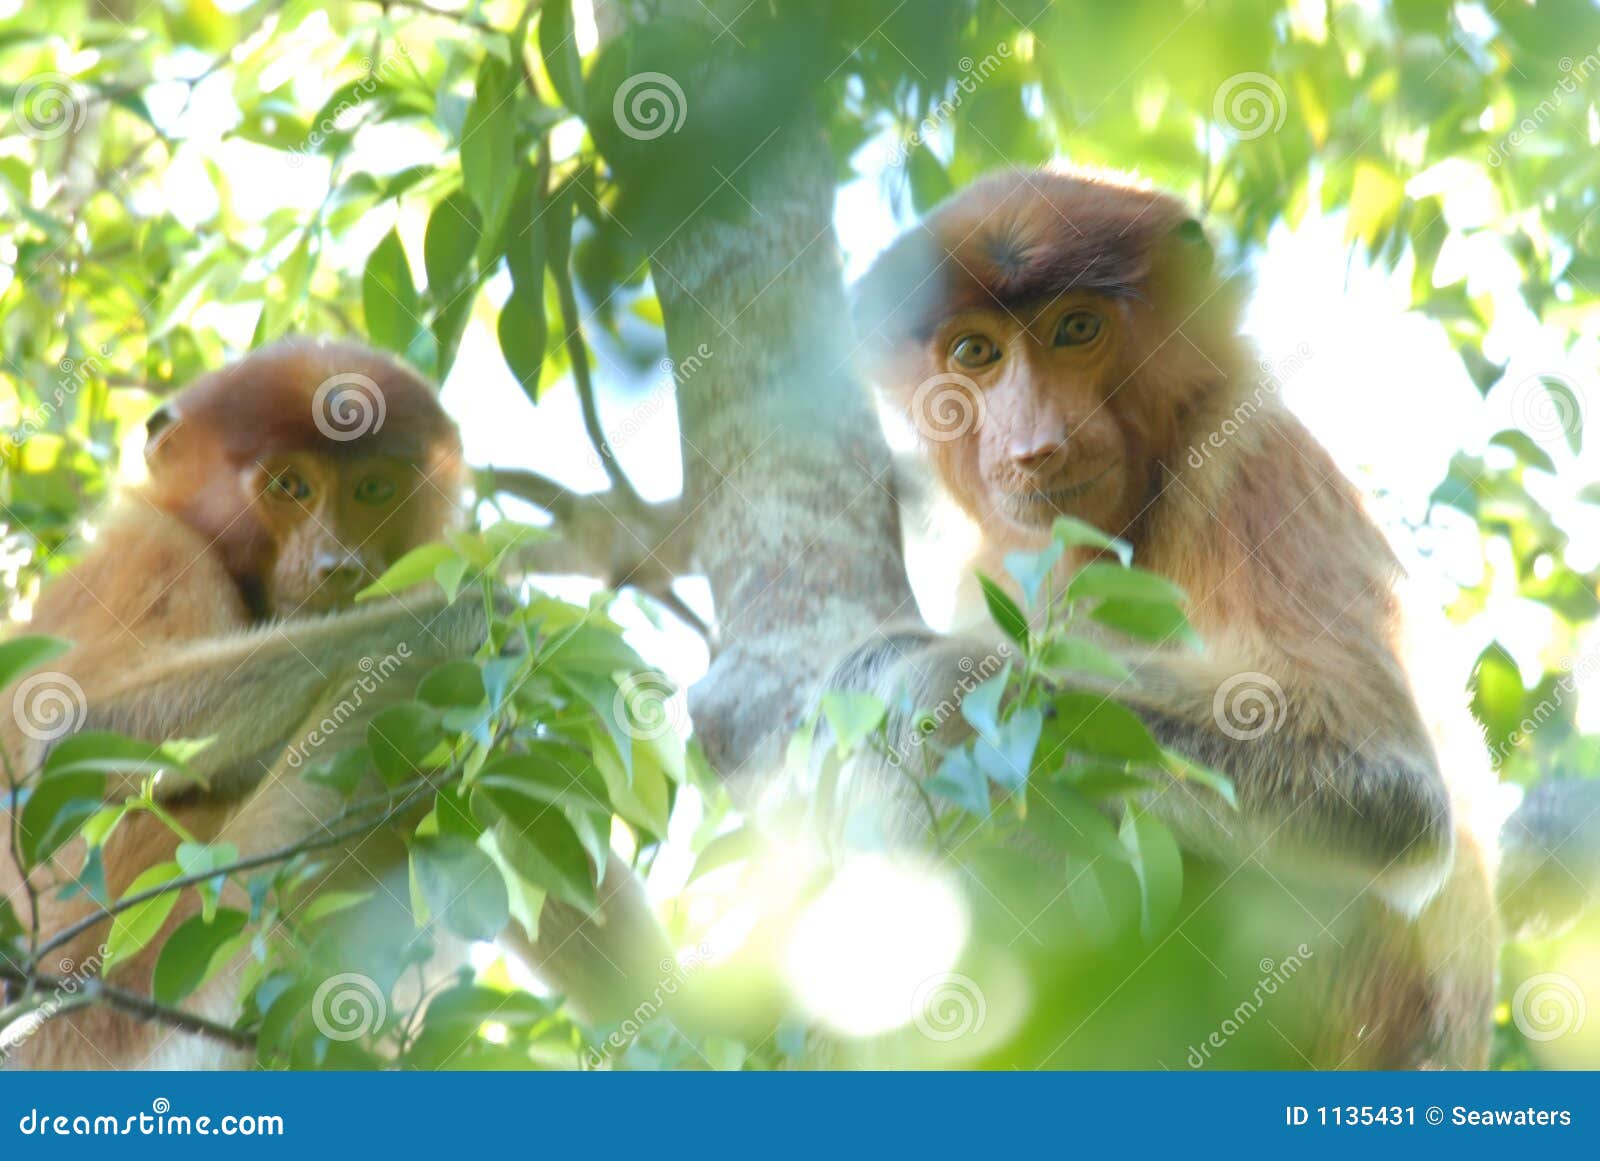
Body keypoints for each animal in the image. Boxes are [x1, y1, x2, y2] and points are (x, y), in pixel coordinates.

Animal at [0, 338, 658, 1069]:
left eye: (373, 489)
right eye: (291, 487)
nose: (338, 566)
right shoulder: (153, 553)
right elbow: (66, 735)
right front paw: (466, 621)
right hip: (165, 978)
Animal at [843, 168, 1504, 1068]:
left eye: (1077, 328)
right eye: (975, 352)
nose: (1036, 447)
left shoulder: (1245, 463)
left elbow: (1391, 797)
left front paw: (918, 669)